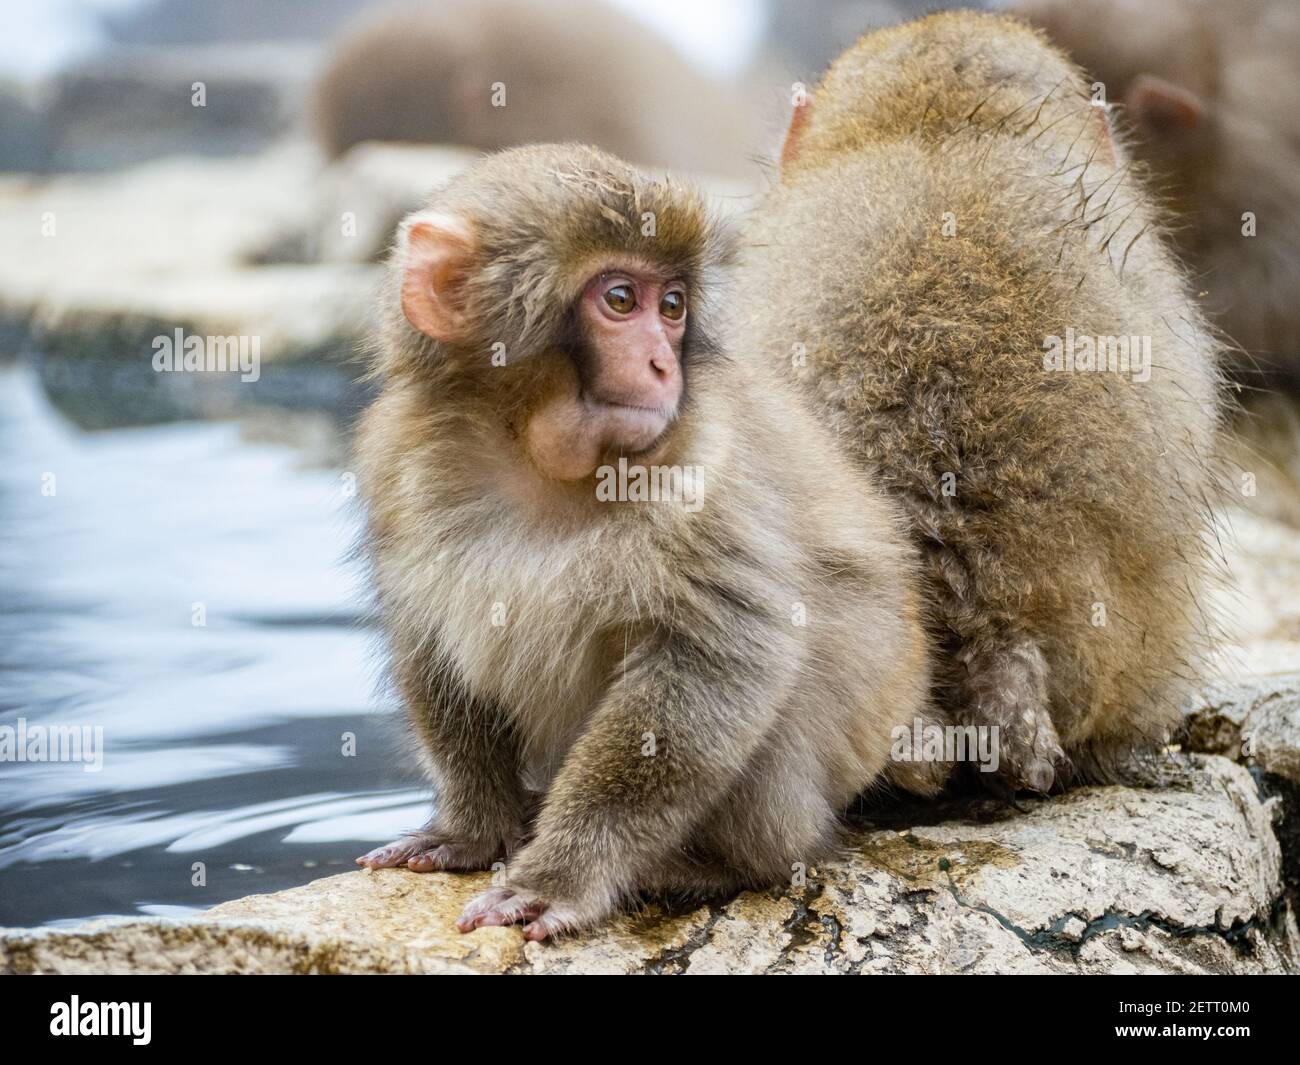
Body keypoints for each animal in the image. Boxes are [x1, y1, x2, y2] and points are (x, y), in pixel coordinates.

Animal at [351, 143, 945, 939]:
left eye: (672, 308)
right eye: (620, 300)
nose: (664, 364)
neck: (535, 455)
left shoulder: (705, 466)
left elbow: (713, 659)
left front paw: (558, 876)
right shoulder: (395, 458)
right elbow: (430, 642)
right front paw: (470, 830)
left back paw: (717, 865)